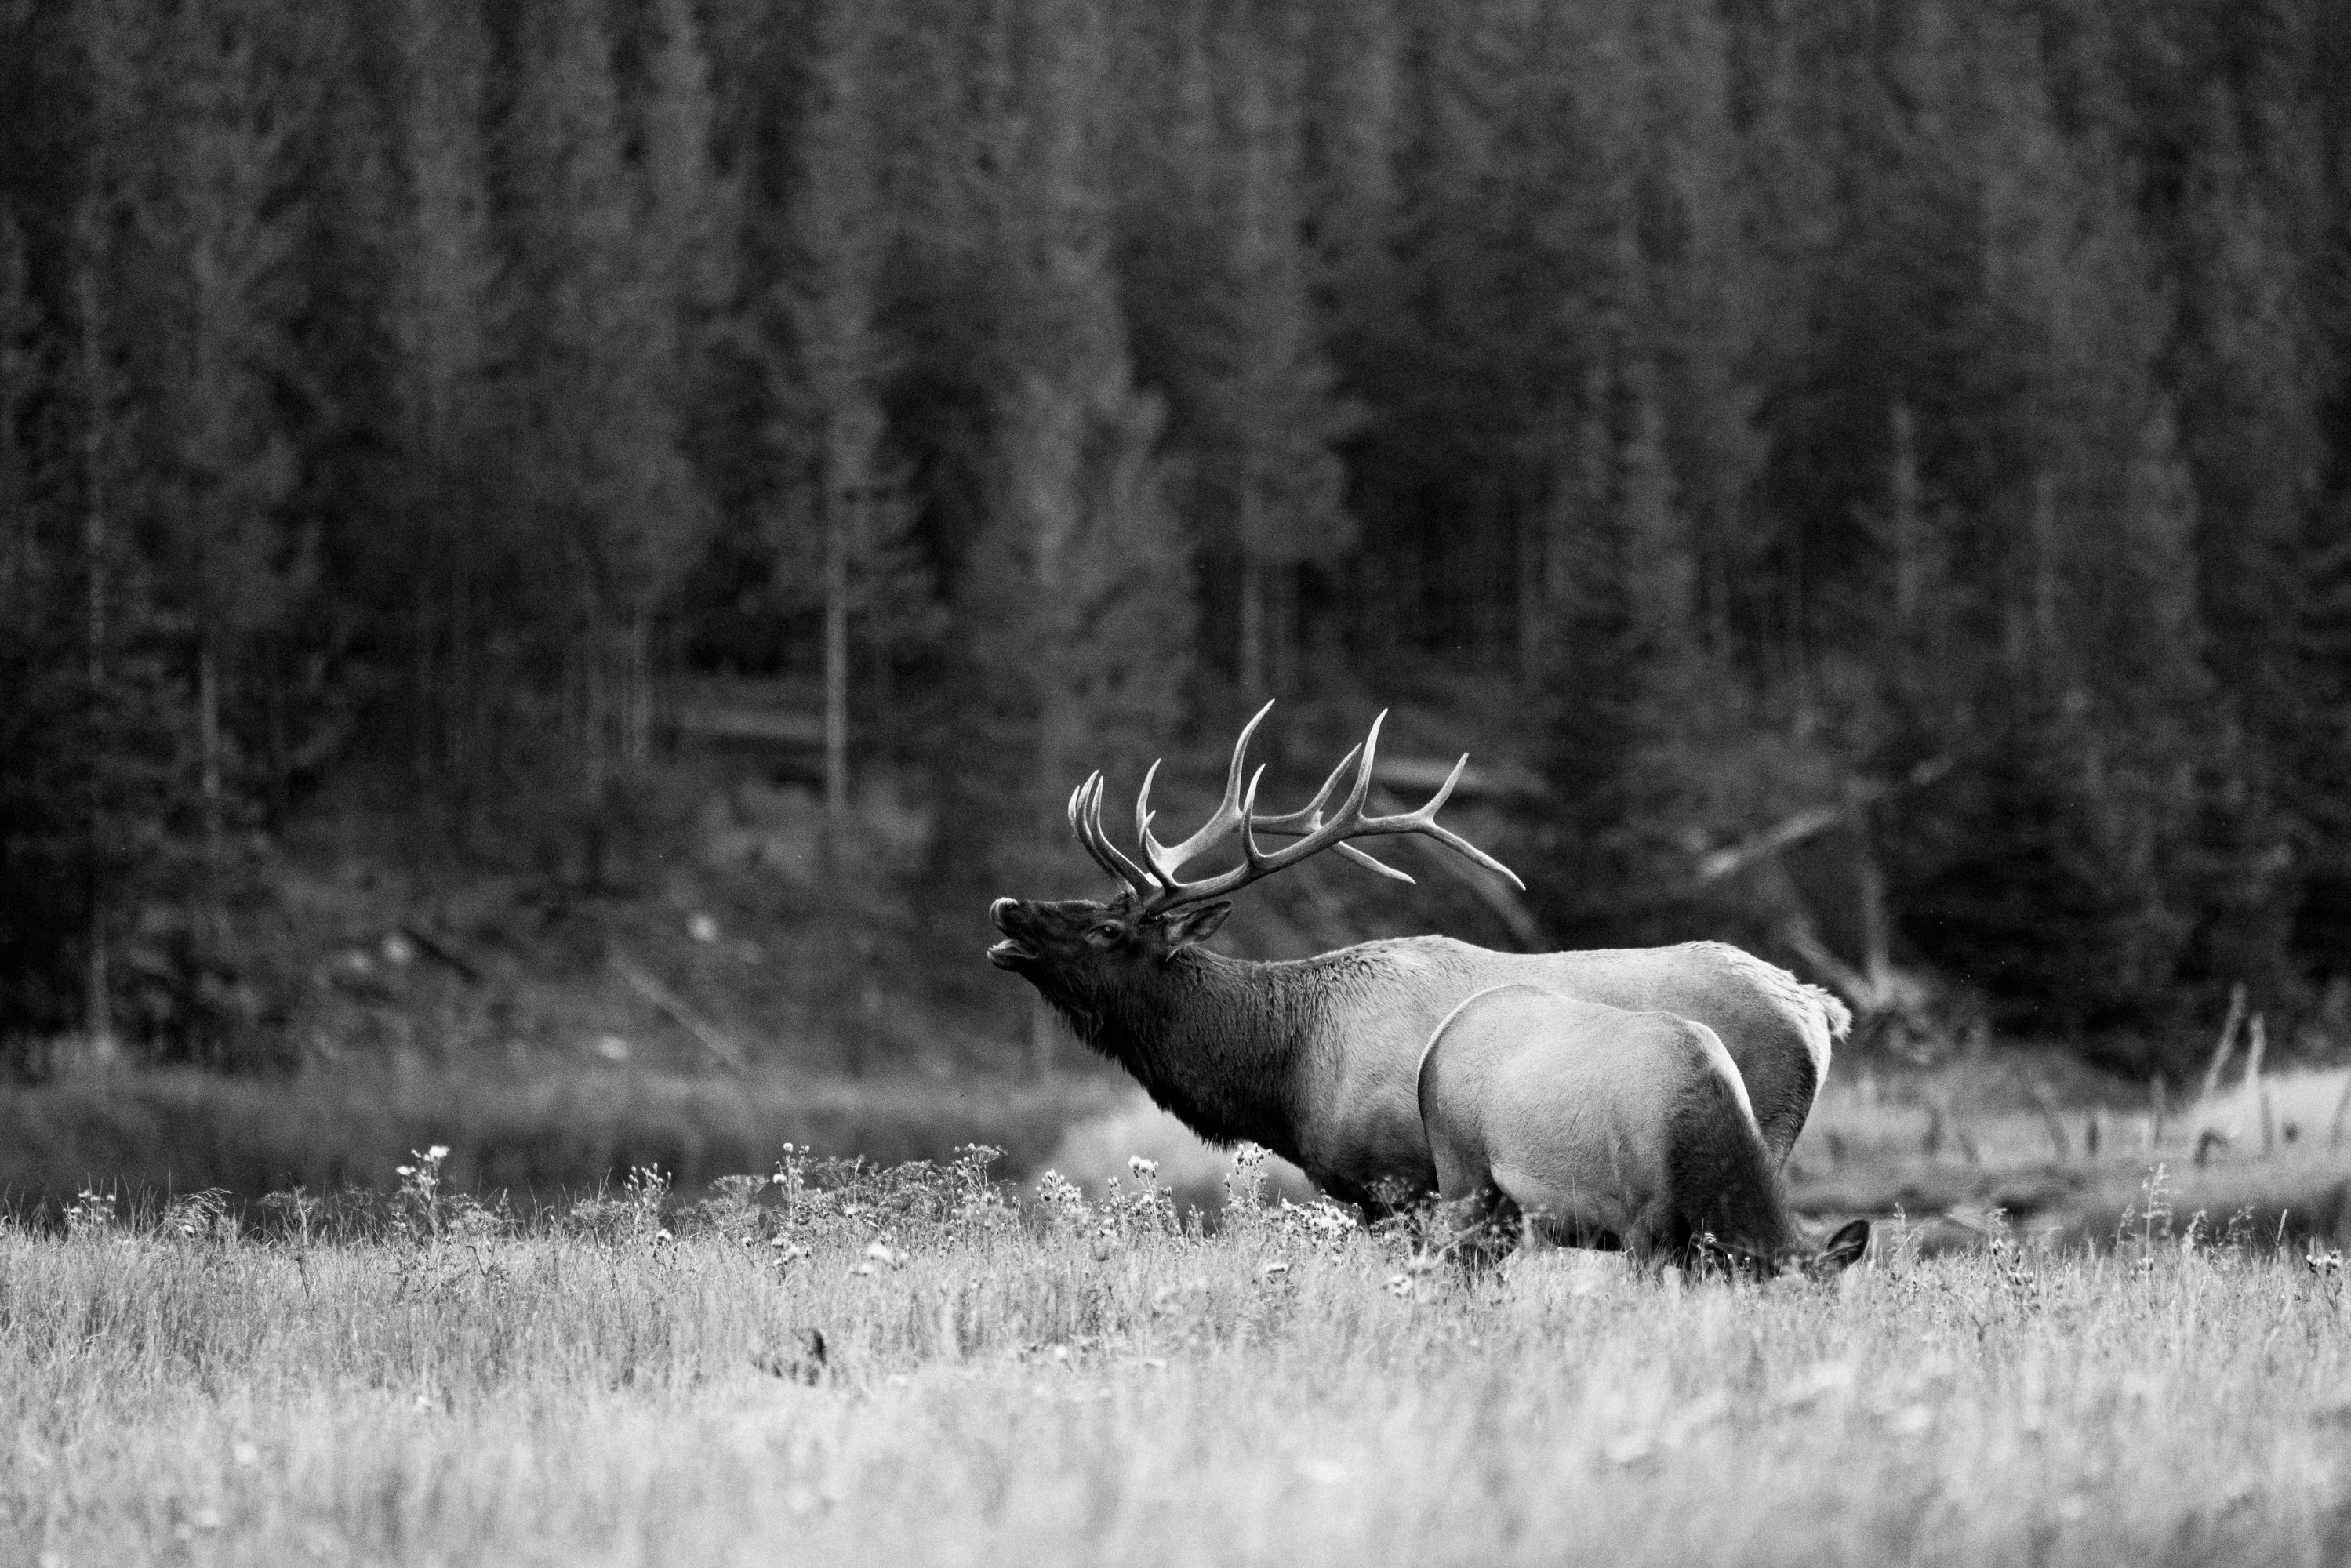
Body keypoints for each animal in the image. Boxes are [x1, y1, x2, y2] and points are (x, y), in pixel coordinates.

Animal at [1416, 983, 1870, 1275]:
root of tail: (1433, 1044)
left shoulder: (1692, 1247)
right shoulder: (1639, 1226)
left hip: (1509, 1210)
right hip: (1462, 1174)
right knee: (1451, 1260)